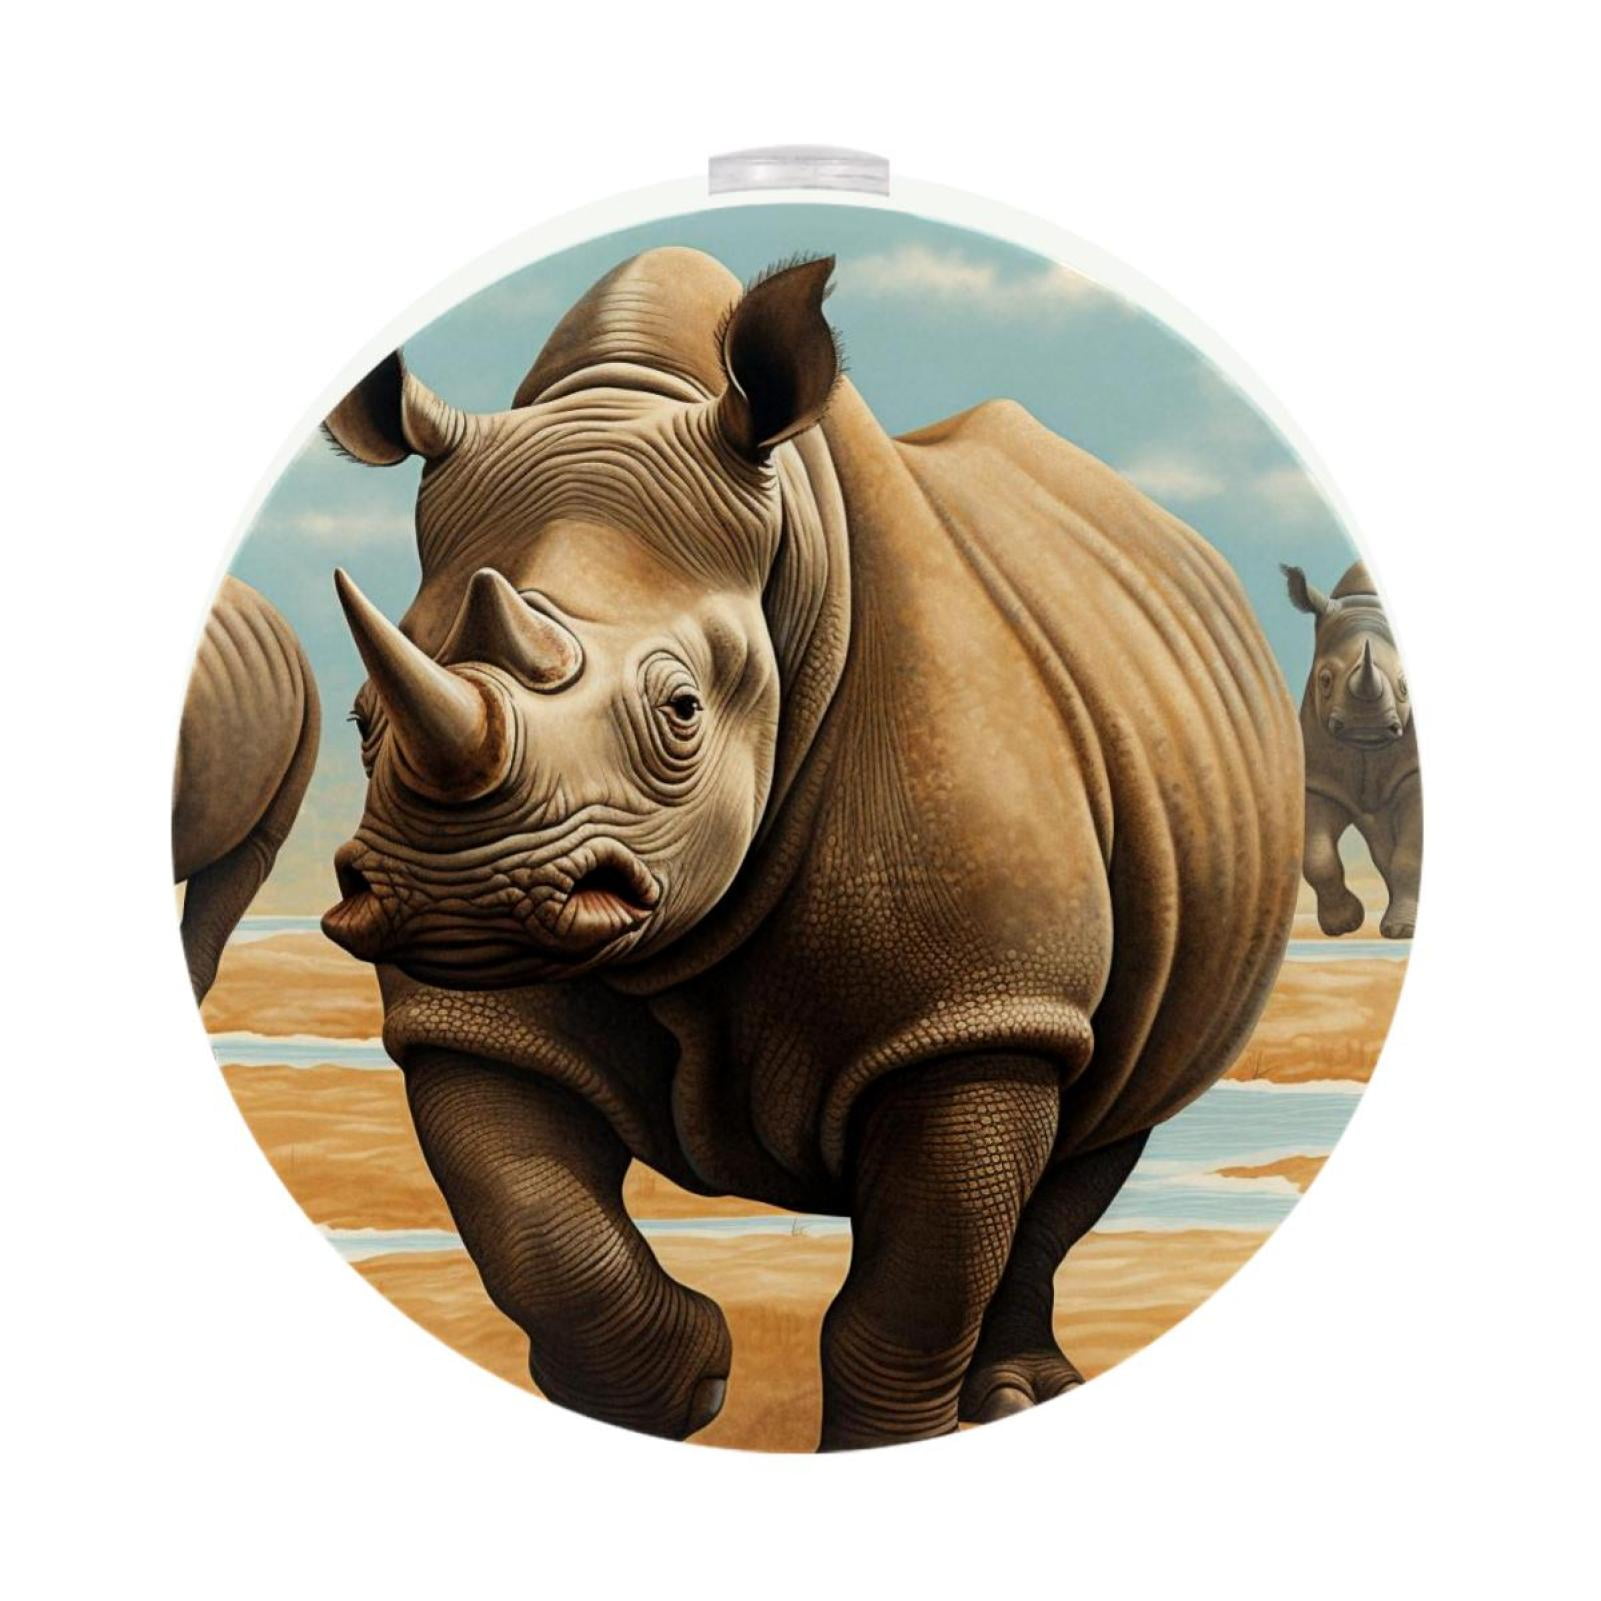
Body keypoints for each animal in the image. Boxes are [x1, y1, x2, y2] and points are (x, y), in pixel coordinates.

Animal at [319, 248, 1302, 1449]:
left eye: (682, 709)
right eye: (360, 718)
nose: (455, 897)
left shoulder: (982, 1010)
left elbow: (908, 1297)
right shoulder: (472, 1008)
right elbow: (535, 1229)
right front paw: (678, 1389)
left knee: (1106, 1109)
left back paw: (1015, 1396)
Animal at [1282, 560, 1421, 938]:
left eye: (1405, 686)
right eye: (1325, 680)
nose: (1367, 727)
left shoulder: (1412, 772)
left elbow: (1410, 853)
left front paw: (1402, 931)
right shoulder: (1320, 781)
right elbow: (1318, 856)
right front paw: (1342, 924)